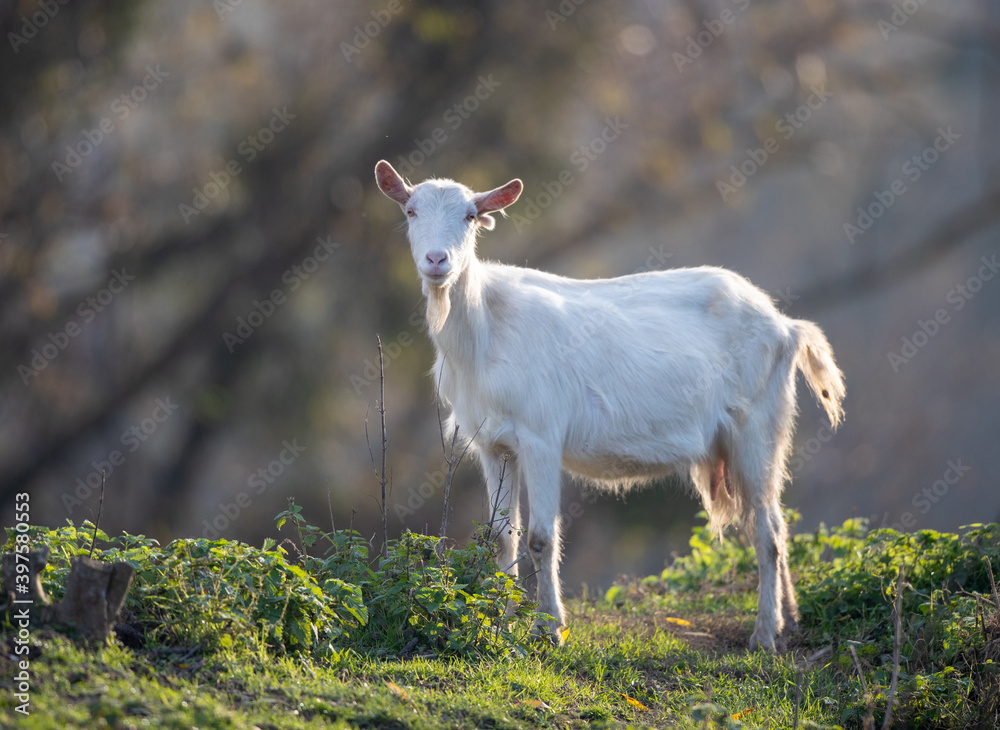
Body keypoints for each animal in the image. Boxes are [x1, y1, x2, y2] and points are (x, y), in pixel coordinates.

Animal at [374, 160, 845, 651]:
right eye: (410, 210)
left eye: (469, 216)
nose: (436, 260)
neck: (486, 327)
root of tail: (785, 325)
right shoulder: (492, 444)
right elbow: (503, 537)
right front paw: (499, 627)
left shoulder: (541, 437)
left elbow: (541, 538)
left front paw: (549, 629)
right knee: (771, 522)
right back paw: (790, 621)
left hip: (757, 425)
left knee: (767, 530)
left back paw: (764, 635)